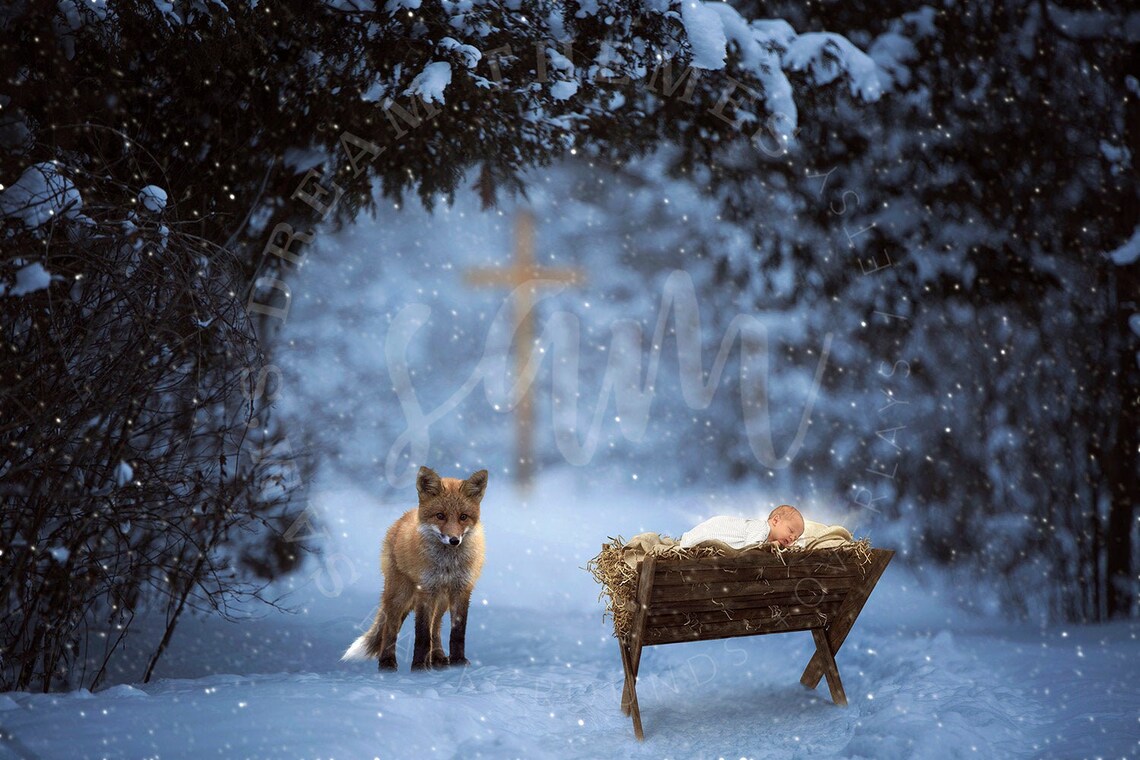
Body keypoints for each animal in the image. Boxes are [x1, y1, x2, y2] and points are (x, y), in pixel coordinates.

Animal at [342, 466, 487, 671]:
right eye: (440, 516)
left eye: (463, 517)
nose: (454, 540)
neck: (447, 564)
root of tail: (402, 517)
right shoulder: (425, 590)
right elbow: (422, 633)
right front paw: (418, 666)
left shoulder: (462, 590)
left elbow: (456, 633)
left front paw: (458, 661)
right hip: (400, 594)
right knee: (390, 627)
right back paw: (387, 662)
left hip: (441, 599)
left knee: (436, 626)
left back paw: (438, 658)